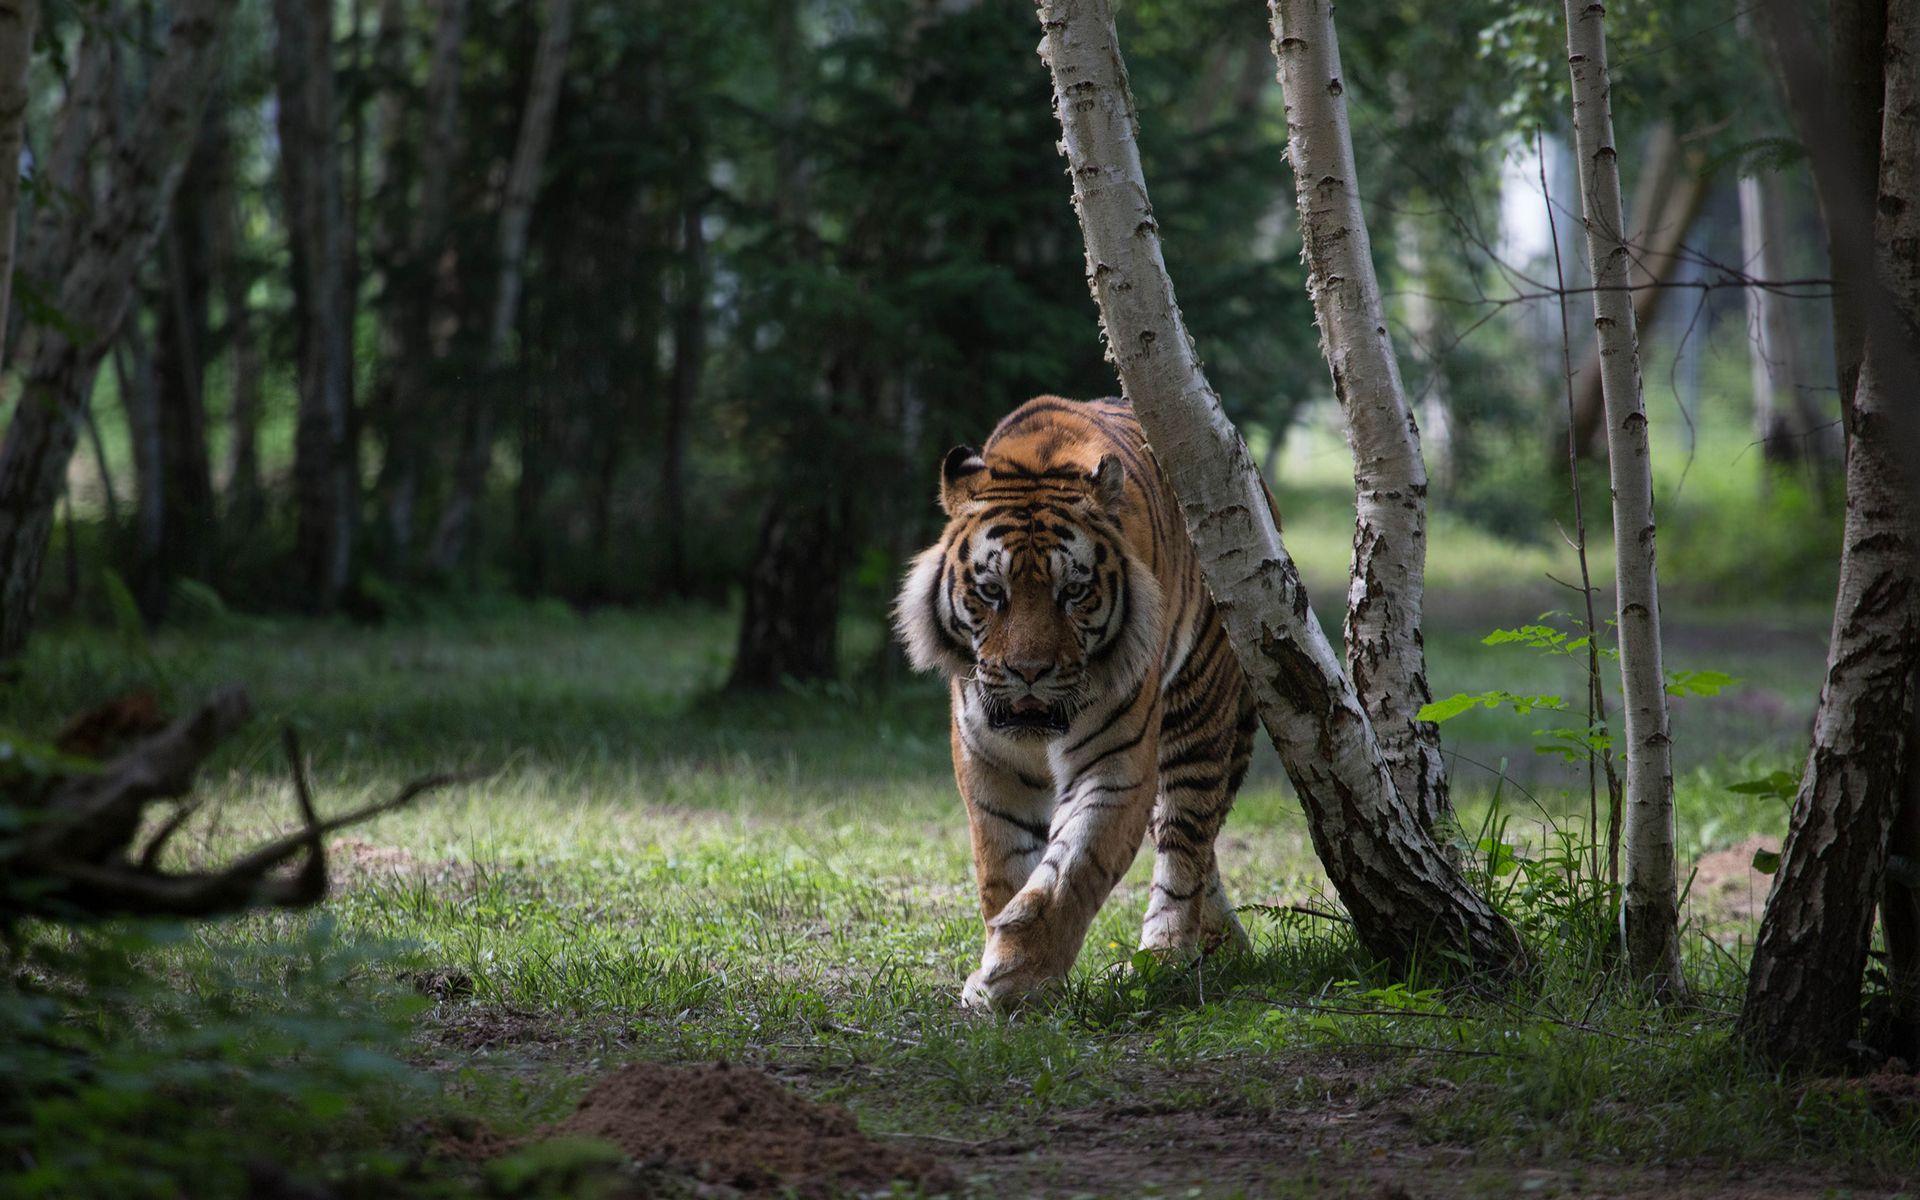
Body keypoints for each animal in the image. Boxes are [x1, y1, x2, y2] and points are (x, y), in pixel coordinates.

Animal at [894, 395, 1259, 1011]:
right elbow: (1004, 871)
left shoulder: (1114, 766)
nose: (1029, 672)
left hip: (1198, 712)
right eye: (992, 591)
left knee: (1187, 840)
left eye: (1073, 592)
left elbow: (1067, 872)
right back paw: (1223, 946)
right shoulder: (988, 763)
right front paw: (1005, 958)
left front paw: (1013, 981)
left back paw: (1165, 955)